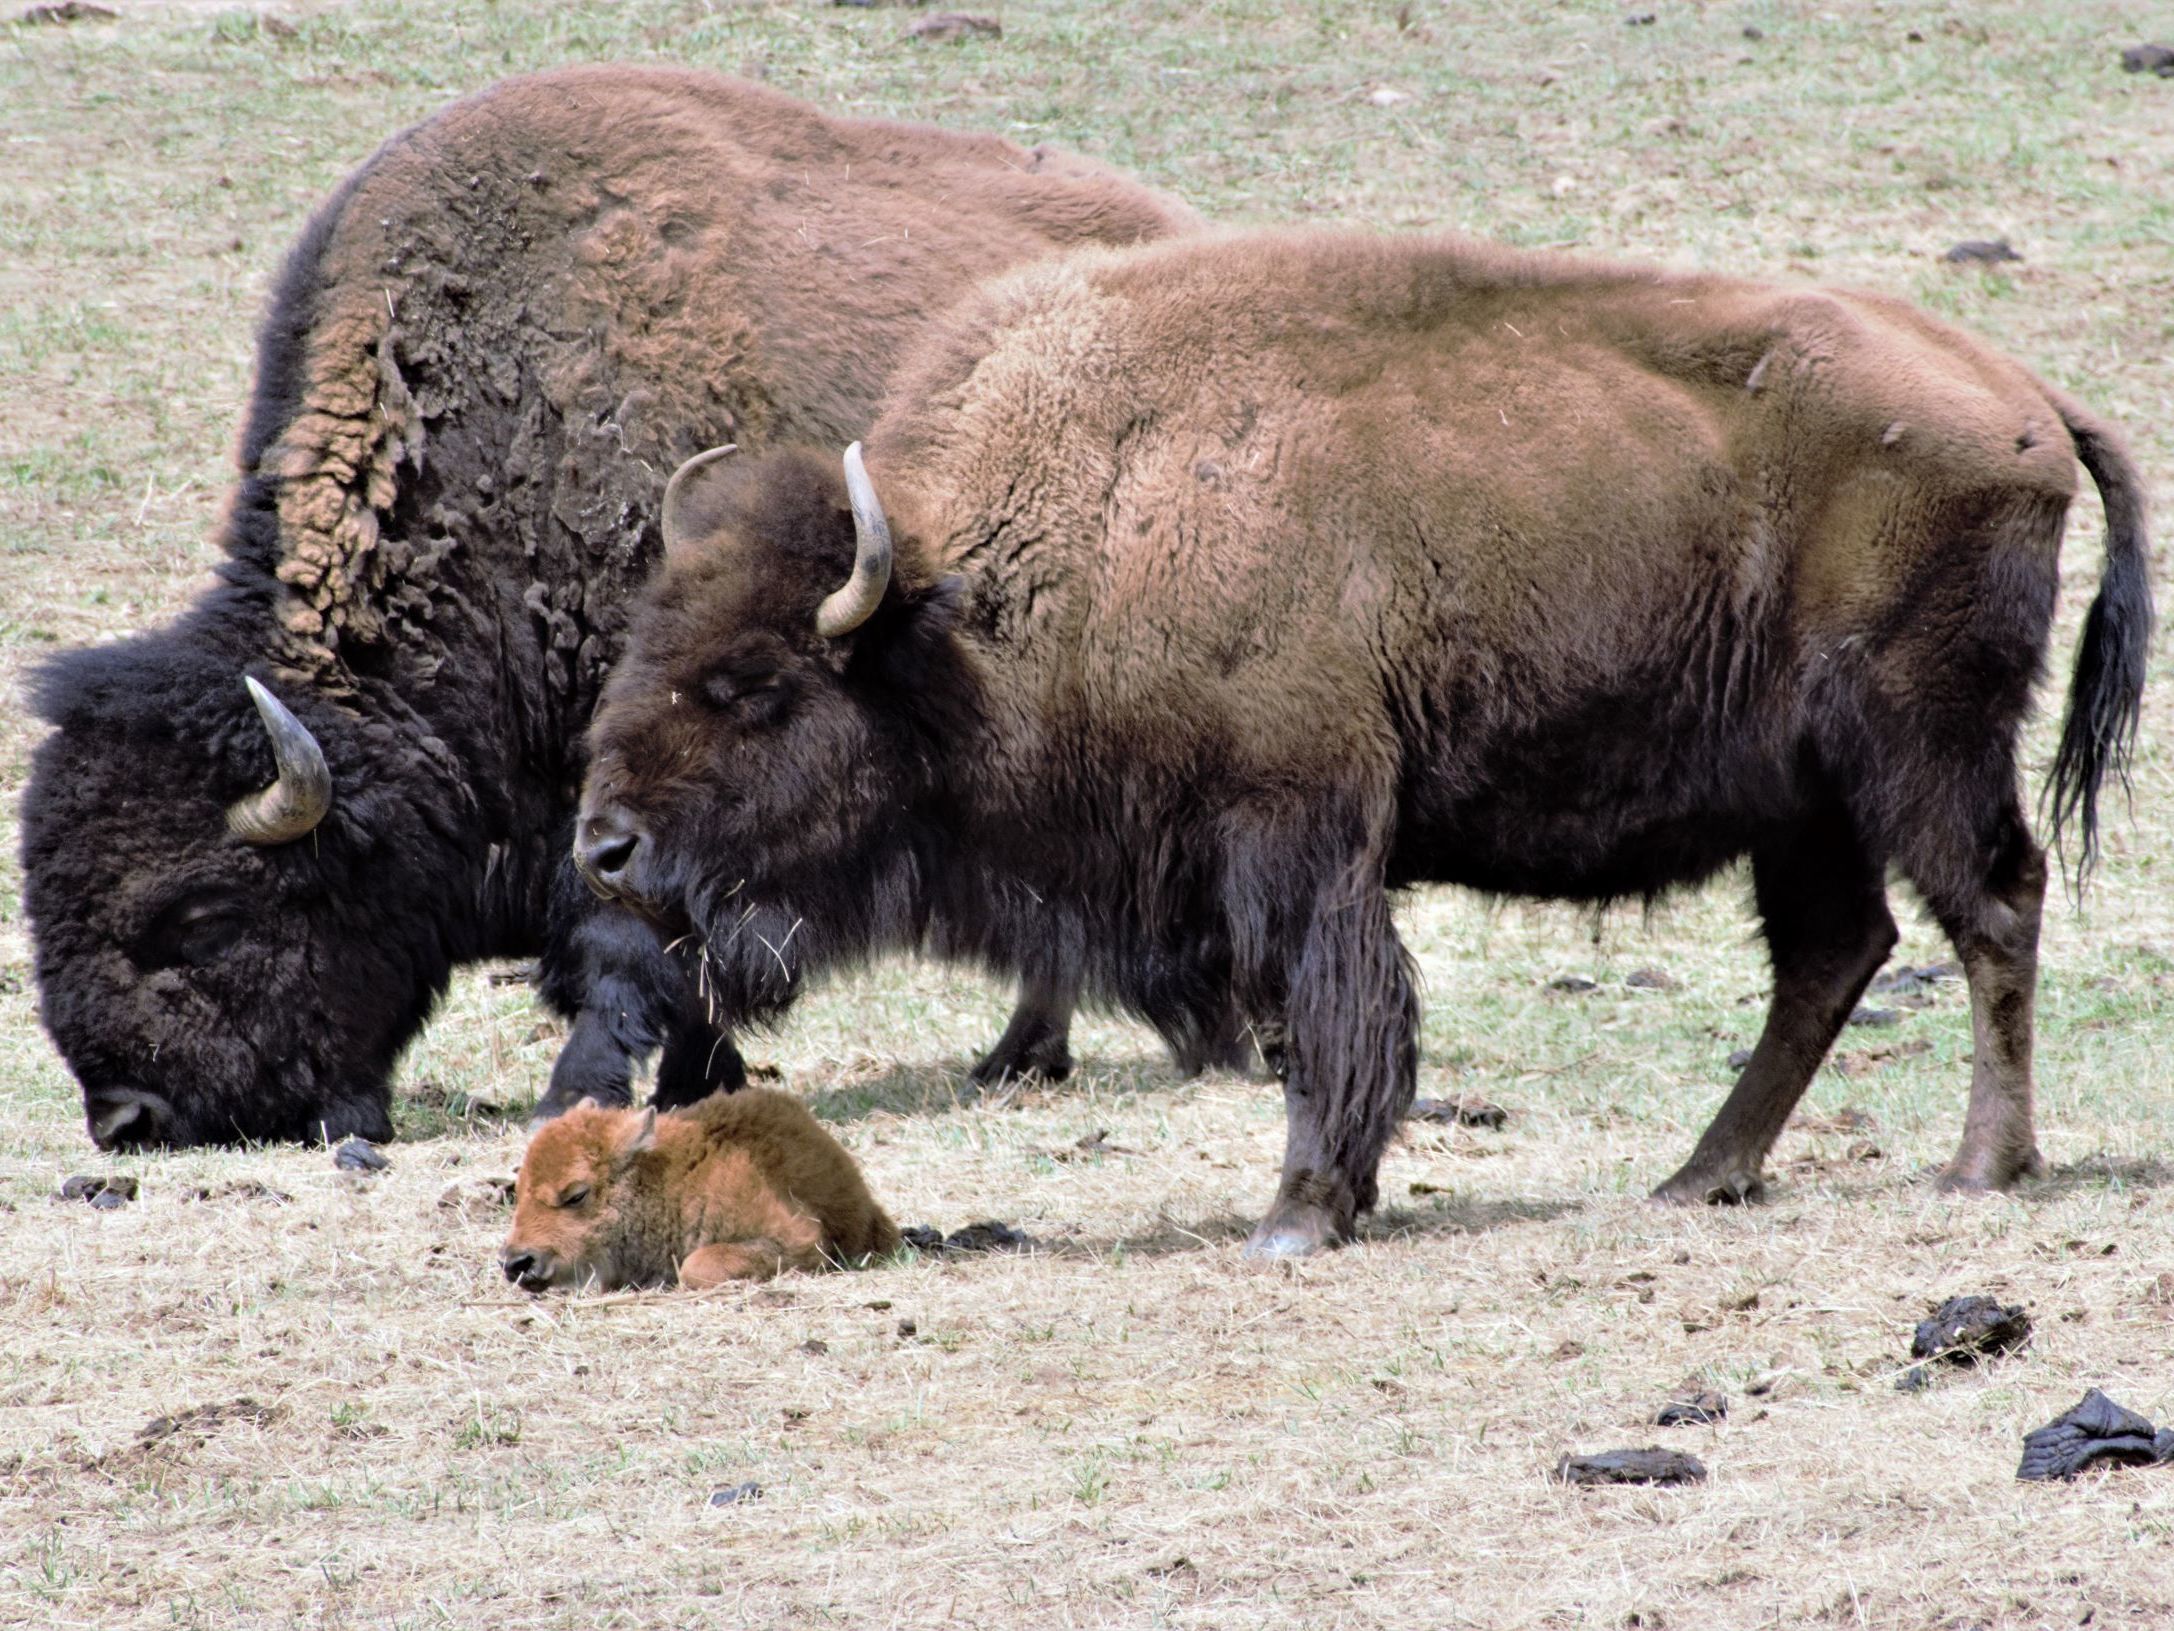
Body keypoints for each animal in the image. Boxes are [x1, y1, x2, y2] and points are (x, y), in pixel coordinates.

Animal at [21, 65, 1204, 1150]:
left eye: (201, 916)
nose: (127, 1116)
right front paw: (700, 1081)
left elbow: (627, 940)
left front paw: (580, 1091)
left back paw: (1028, 1052)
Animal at [577, 229, 2150, 1257]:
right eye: (646, 642)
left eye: (754, 682)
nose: (604, 844)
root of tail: (2021, 401)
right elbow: (1311, 1019)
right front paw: (1338, 1195)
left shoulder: (1296, 832)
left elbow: (1328, 1009)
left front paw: (1296, 1213)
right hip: (1801, 798)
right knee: (1835, 950)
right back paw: (1698, 1177)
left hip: (1915, 743)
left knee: (1987, 903)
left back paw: (1978, 1167)